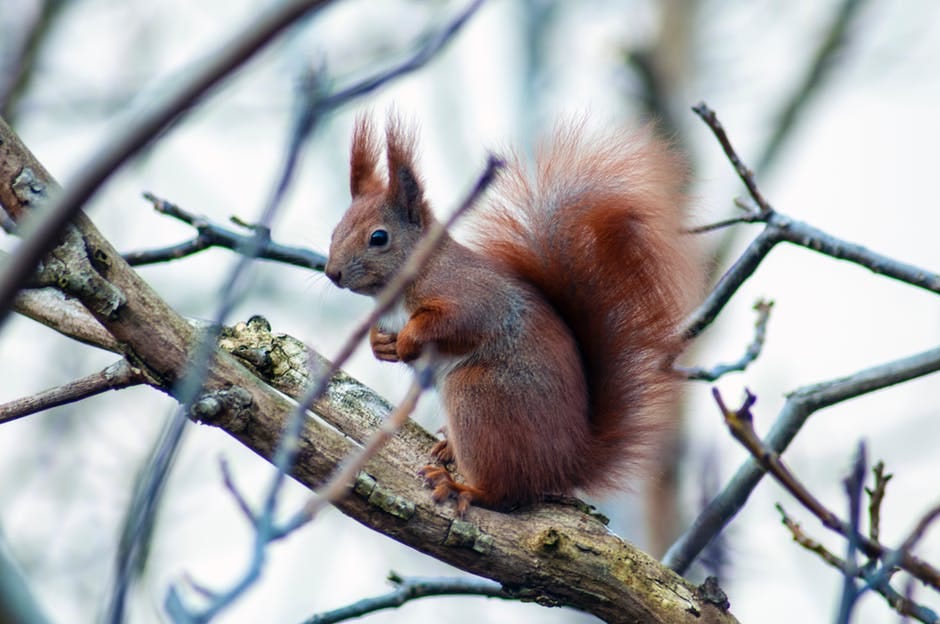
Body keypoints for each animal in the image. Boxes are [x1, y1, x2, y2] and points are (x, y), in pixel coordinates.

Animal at [325, 114, 702, 516]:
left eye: (378, 238)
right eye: (336, 230)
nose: (332, 273)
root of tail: (566, 463)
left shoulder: (471, 297)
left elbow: (452, 322)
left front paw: (408, 342)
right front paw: (380, 345)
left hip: (477, 397)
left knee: (508, 493)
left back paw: (463, 488)